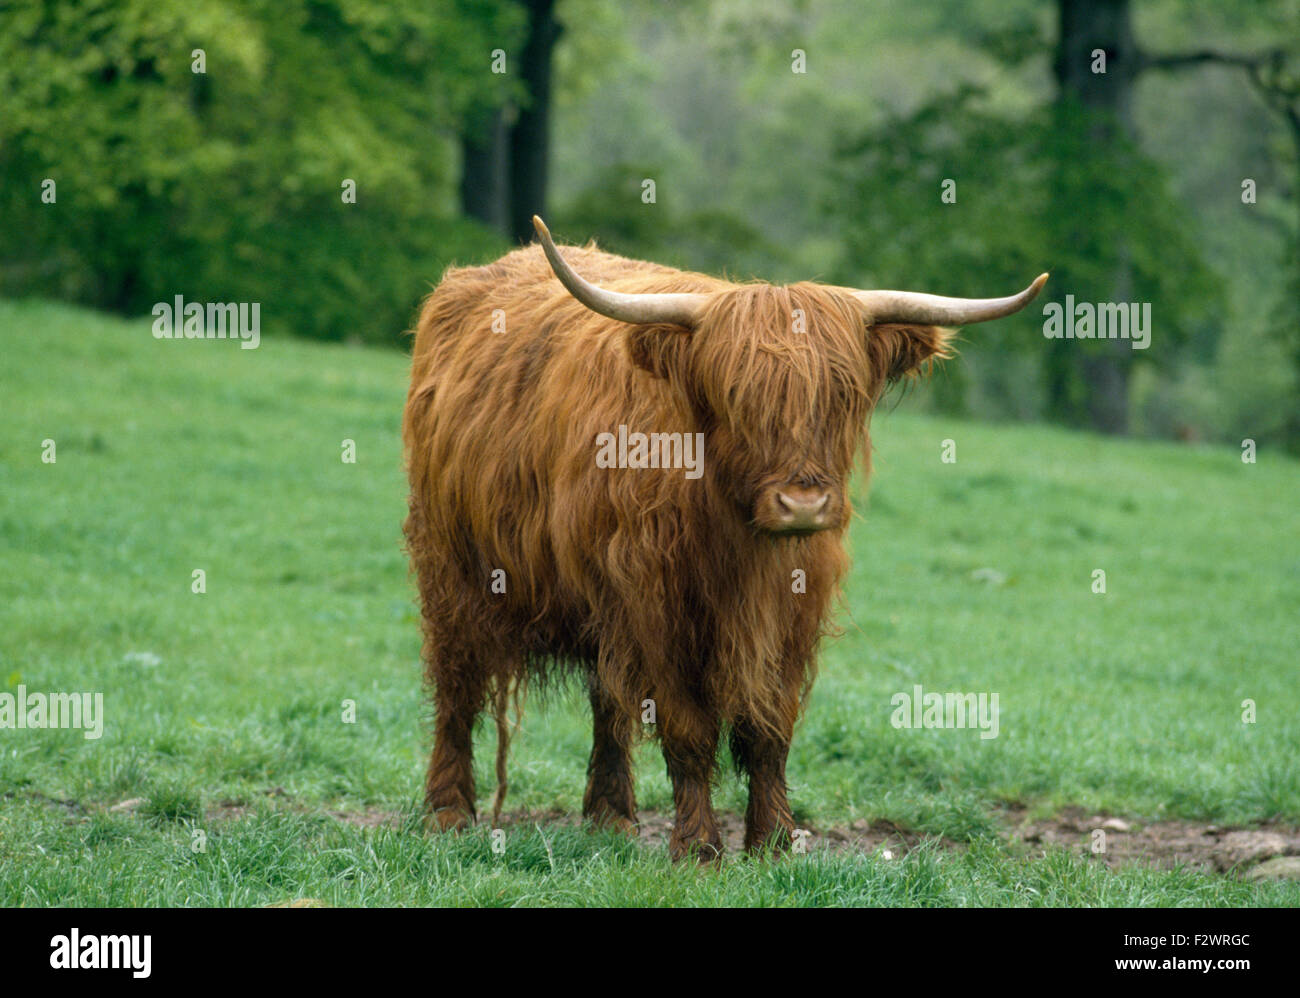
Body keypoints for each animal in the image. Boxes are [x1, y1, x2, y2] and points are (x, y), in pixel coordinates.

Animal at [403, 216, 1046, 861]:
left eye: (842, 394)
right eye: (738, 395)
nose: (802, 505)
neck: (740, 542)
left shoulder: (792, 612)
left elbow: (770, 731)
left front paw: (774, 843)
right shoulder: (656, 609)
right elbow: (688, 731)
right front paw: (697, 848)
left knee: (606, 699)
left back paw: (611, 816)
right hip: (453, 570)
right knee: (456, 686)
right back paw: (448, 811)